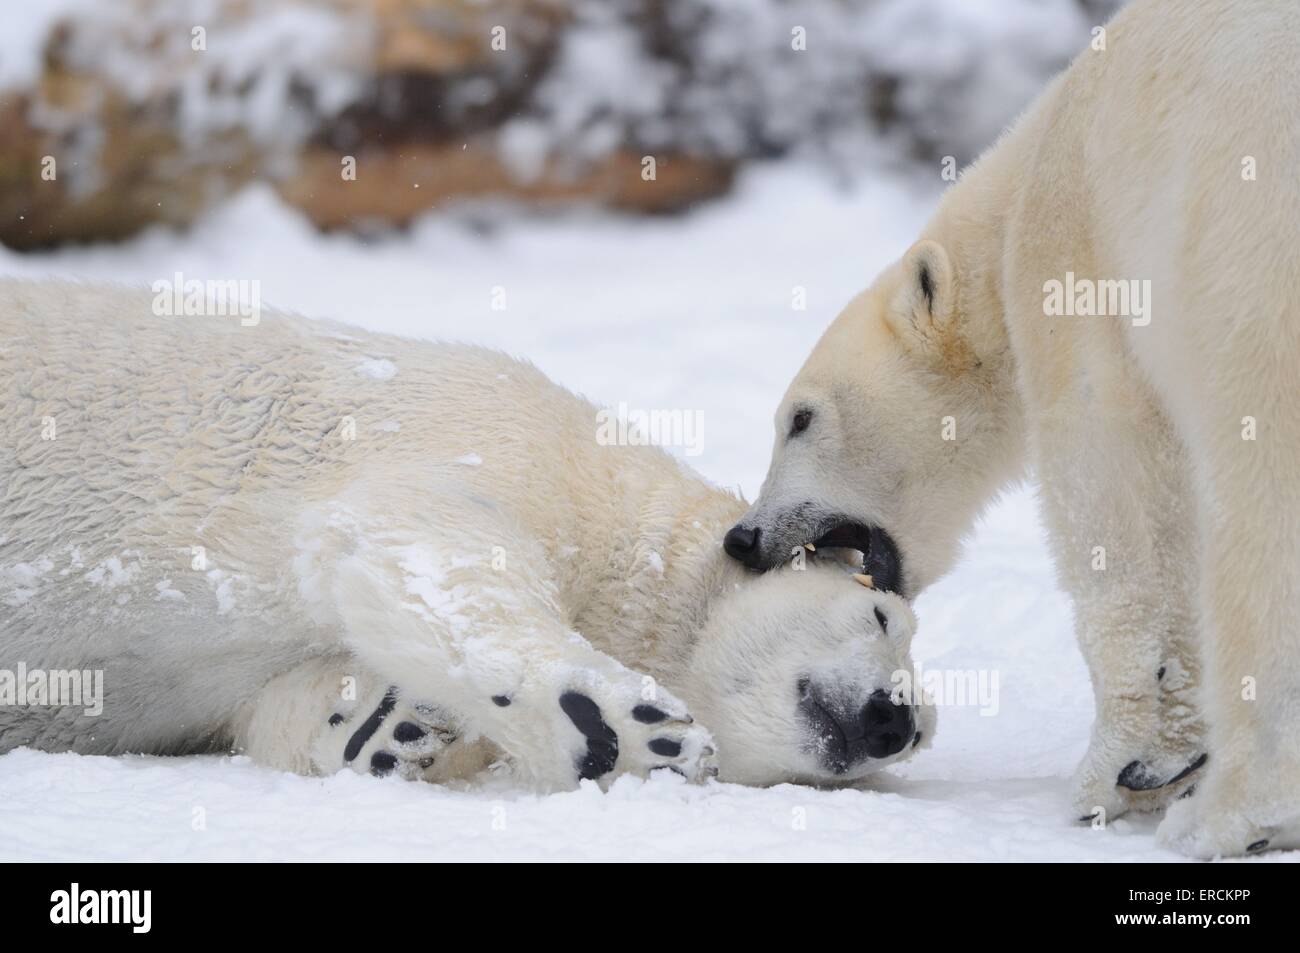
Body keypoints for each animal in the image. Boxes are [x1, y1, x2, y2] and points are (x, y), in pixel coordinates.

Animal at [0, 279, 932, 790]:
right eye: (882, 614)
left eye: (917, 738)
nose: (891, 719)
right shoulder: (500, 433)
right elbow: (424, 545)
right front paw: (630, 729)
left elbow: (283, 702)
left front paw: (391, 727)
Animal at [722, 0, 1300, 856]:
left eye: (800, 417)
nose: (743, 536)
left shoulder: (1081, 241)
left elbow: (1112, 474)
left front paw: (1129, 766)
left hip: (1250, 263)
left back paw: (1232, 812)